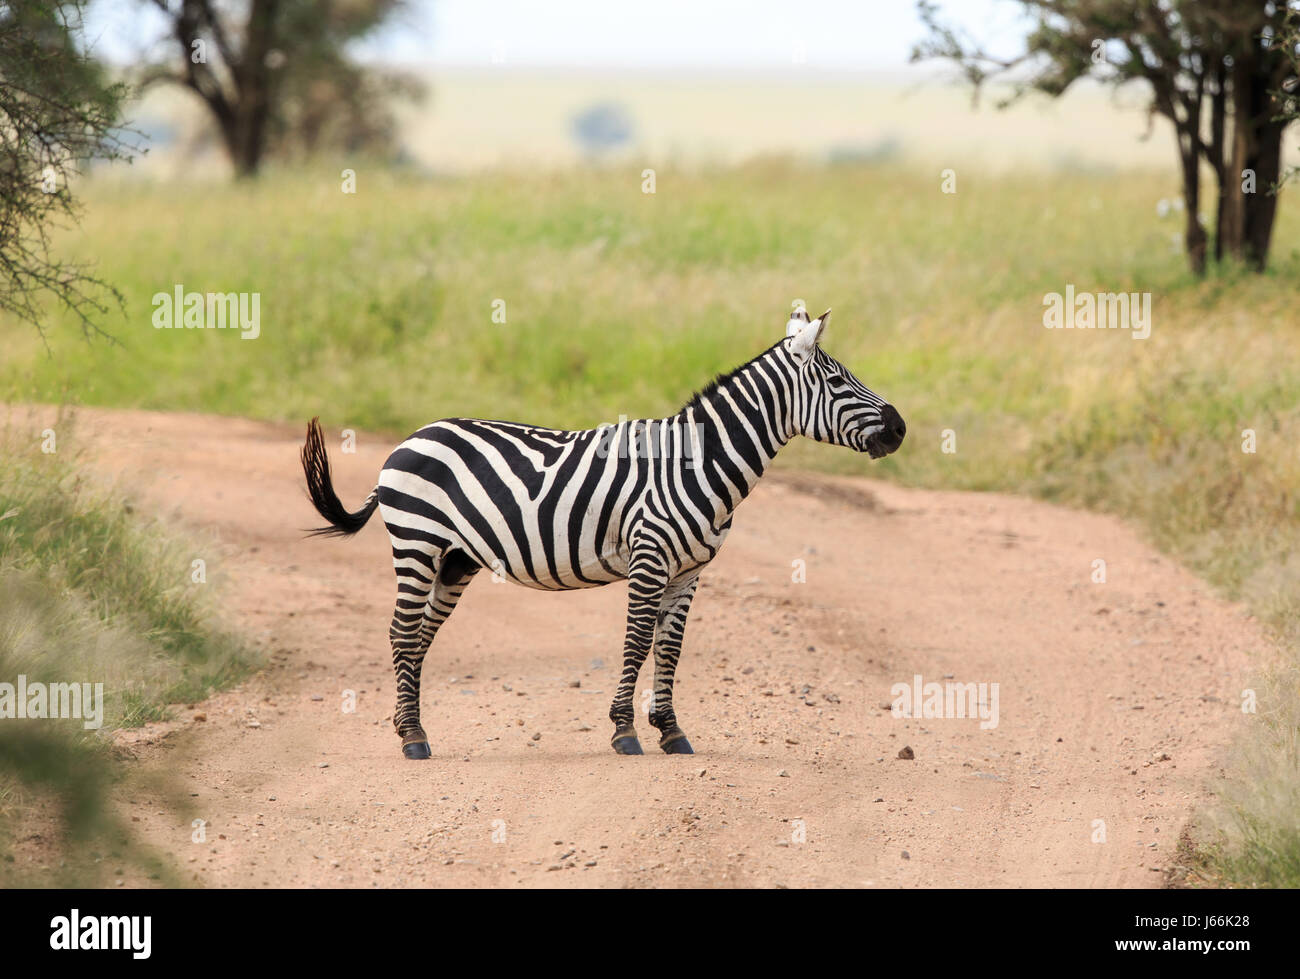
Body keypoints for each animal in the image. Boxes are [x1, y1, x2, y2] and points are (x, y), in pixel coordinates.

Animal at [300, 307, 906, 759]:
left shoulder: (690, 571)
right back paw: (411, 740)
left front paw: (671, 730)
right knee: (402, 634)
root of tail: (409, 438)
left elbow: (670, 648)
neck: (699, 463)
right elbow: (637, 640)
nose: (900, 428)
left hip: (456, 559)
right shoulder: (650, 555)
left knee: (421, 636)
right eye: (837, 380)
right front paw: (624, 730)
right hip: (417, 543)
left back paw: (412, 726)